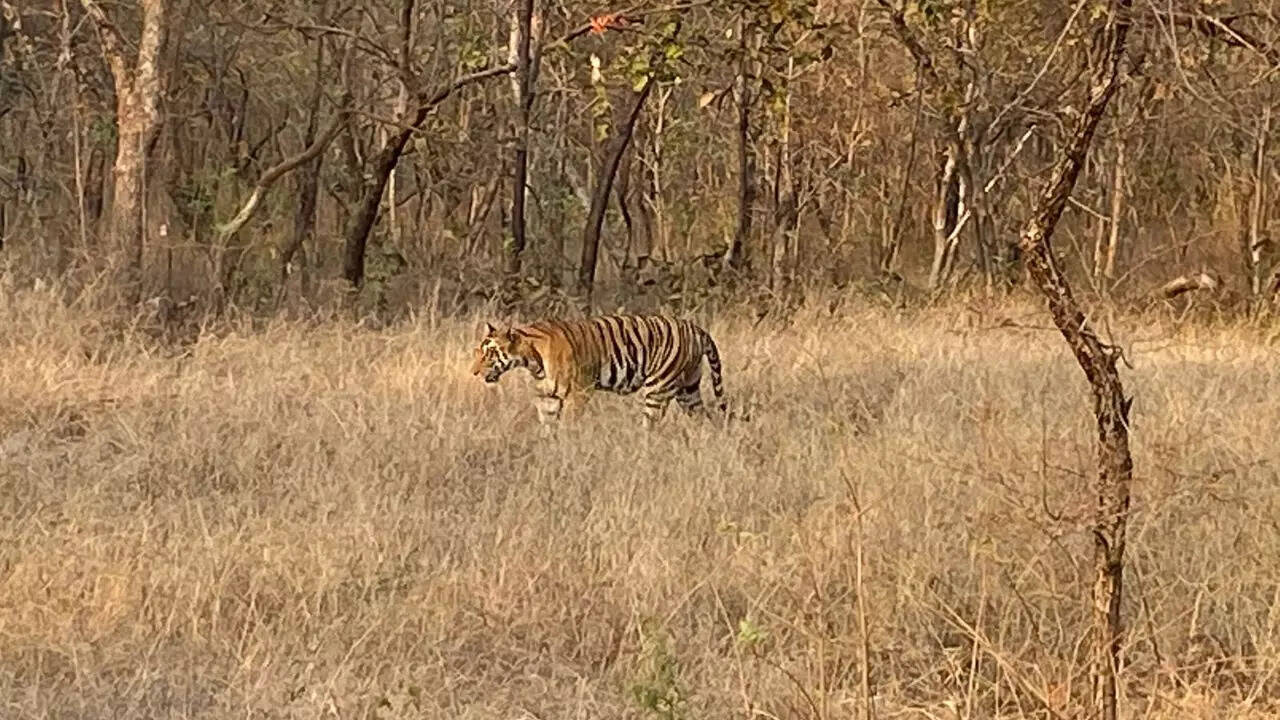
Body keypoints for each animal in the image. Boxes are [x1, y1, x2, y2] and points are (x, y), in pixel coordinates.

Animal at [470, 314, 727, 427]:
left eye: (489, 354)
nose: (473, 373)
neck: (533, 361)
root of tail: (695, 327)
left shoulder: (578, 394)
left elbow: (568, 426)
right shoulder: (547, 398)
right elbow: (547, 427)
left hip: (659, 388)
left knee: (651, 426)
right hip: (688, 389)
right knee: (704, 417)